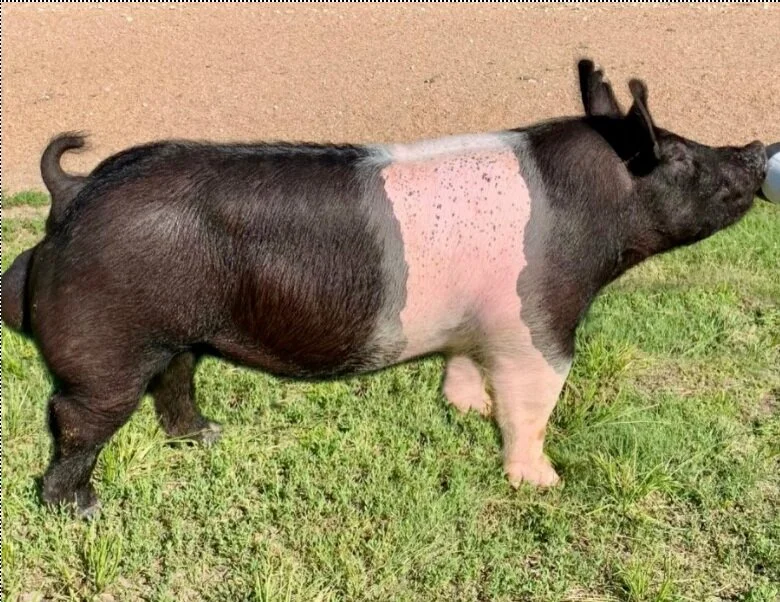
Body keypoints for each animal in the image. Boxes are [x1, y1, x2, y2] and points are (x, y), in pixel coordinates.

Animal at [1, 59, 768, 518]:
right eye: (679, 157)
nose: (757, 148)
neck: (596, 207)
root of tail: (73, 194)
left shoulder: (478, 326)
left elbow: (464, 367)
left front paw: (465, 411)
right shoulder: (540, 323)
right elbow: (535, 402)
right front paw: (543, 484)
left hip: (174, 333)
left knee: (176, 379)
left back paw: (207, 436)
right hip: (107, 343)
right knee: (75, 416)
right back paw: (82, 509)